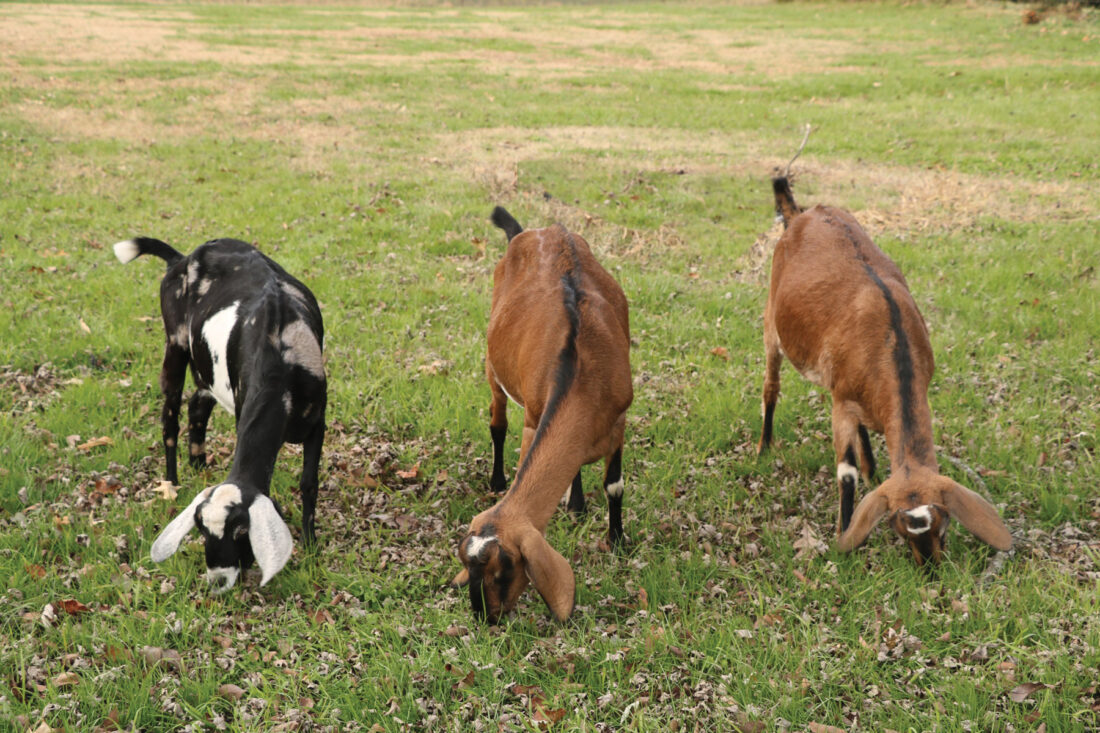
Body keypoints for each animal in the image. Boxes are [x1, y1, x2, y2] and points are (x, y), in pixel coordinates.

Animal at [114, 236, 326, 591]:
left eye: (241, 531)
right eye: (201, 530)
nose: (218, 579)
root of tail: (182, 259)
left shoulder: (317, 423)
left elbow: (309, 482)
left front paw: (311, 545)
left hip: (206, 370)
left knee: (196, 406)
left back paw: (198, 463)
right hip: (175, 342)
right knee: (170, 416)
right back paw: (172, 483)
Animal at [451, 207, 633, 623]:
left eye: (504, 571)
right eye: (468, 567)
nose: (485, 617)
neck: (583, 374)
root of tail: (533, 232)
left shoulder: (619, 420)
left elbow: (614, 485)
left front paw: (616, 539)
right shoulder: (534, 418)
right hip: (492, 368)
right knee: (497, 423)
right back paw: (498, 479)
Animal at [757, 177, 1011, 565]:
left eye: (944, 524)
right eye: (896, 526)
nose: (930, 568)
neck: (891, 341)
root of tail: (800, 214)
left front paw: (870, 472)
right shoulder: (841, 403)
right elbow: (845, 473)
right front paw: (844, 536)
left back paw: (871, 467)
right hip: (772, 322)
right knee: (771, 386)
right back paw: (764, 448)